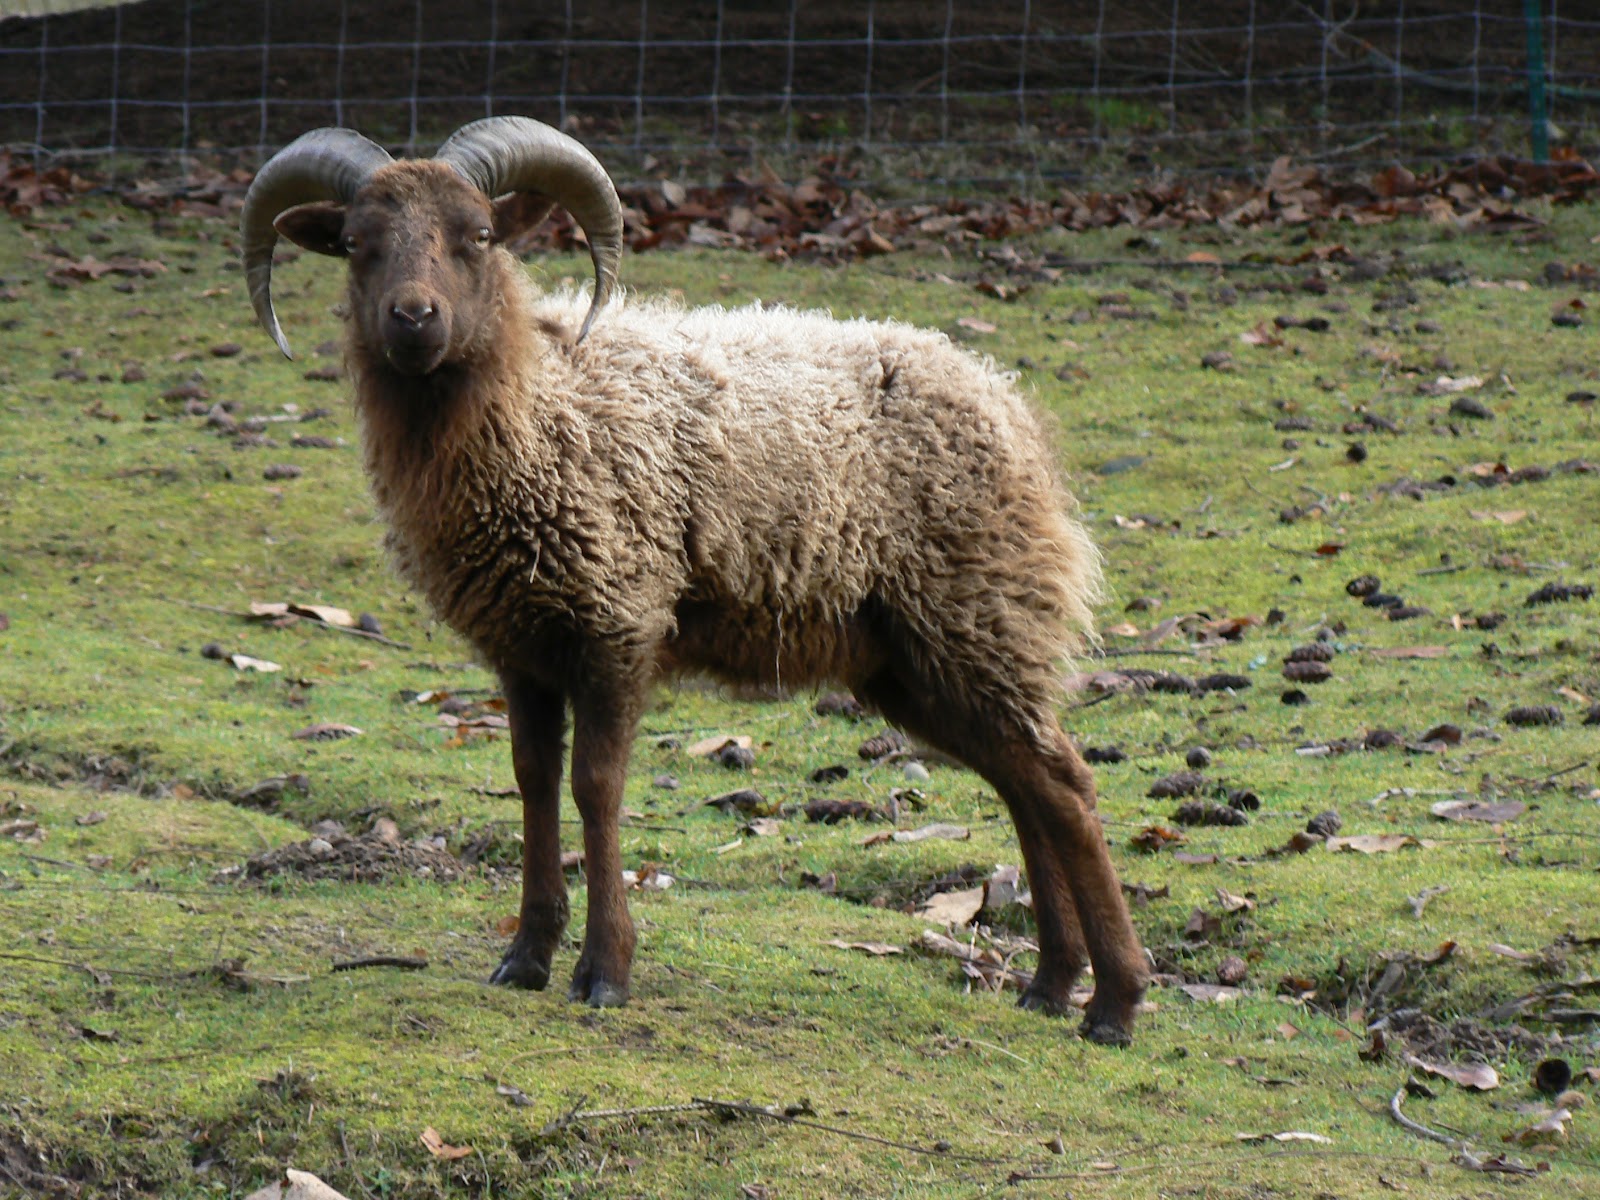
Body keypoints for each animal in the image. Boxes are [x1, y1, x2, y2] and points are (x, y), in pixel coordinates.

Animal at [240, 116, 1149, 1045]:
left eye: (480, 236)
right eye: (357, 245)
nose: (414, 318)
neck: (541, 410)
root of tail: (1009, 403)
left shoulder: (617, 619)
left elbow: (595, 786)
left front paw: (605, 971)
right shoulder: (522, 646)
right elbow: (533, 780)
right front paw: (526, 958)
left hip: (976, 610)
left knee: (1065, 784)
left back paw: (1114, 1002)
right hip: (919, 656)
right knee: (1024, 782)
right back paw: (1050, 984)